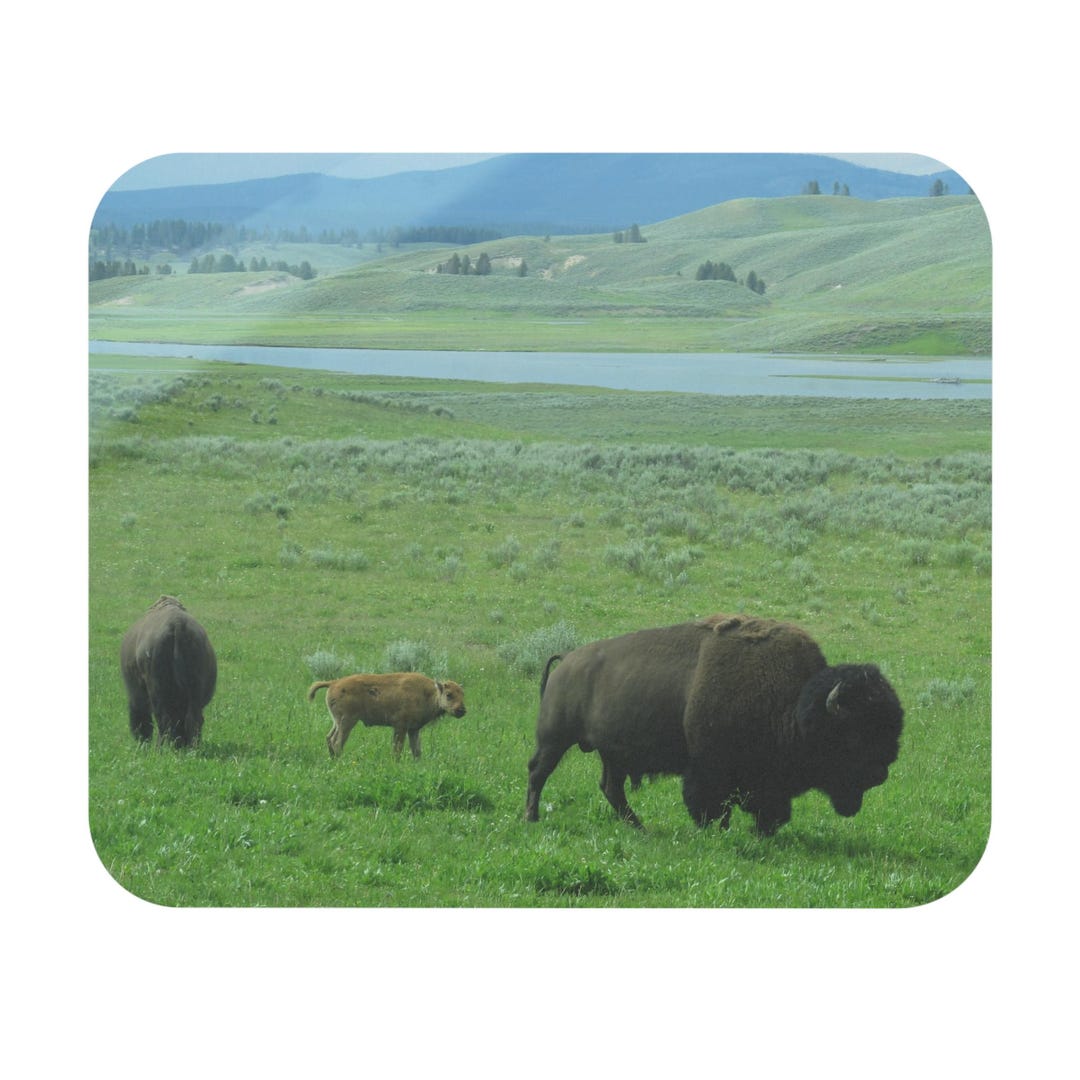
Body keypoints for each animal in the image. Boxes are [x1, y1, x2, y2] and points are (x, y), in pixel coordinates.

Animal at [308, 672, 467, 758]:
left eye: (462, 694)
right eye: (449, 694)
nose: (462, 710)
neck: (428, 693)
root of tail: (333, 683)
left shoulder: (413, 729)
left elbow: (416, 751)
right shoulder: (400, 727)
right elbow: (398, 749)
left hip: (337, 721)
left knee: (329, 738)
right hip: (347, 721)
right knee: (337, 742)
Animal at [525, 614, 903, 835]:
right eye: (853, 737)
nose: (881, 774)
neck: (792, 705)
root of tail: (566, 661)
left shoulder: (768, 782)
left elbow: (773, 811)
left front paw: (761, 832)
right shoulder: (708, 770)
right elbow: (709, 805)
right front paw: (717, 831)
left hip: (612, 753)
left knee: (611, 788)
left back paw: (640, 828)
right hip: (554, 739)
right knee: (538, 772)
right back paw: (532, 817)